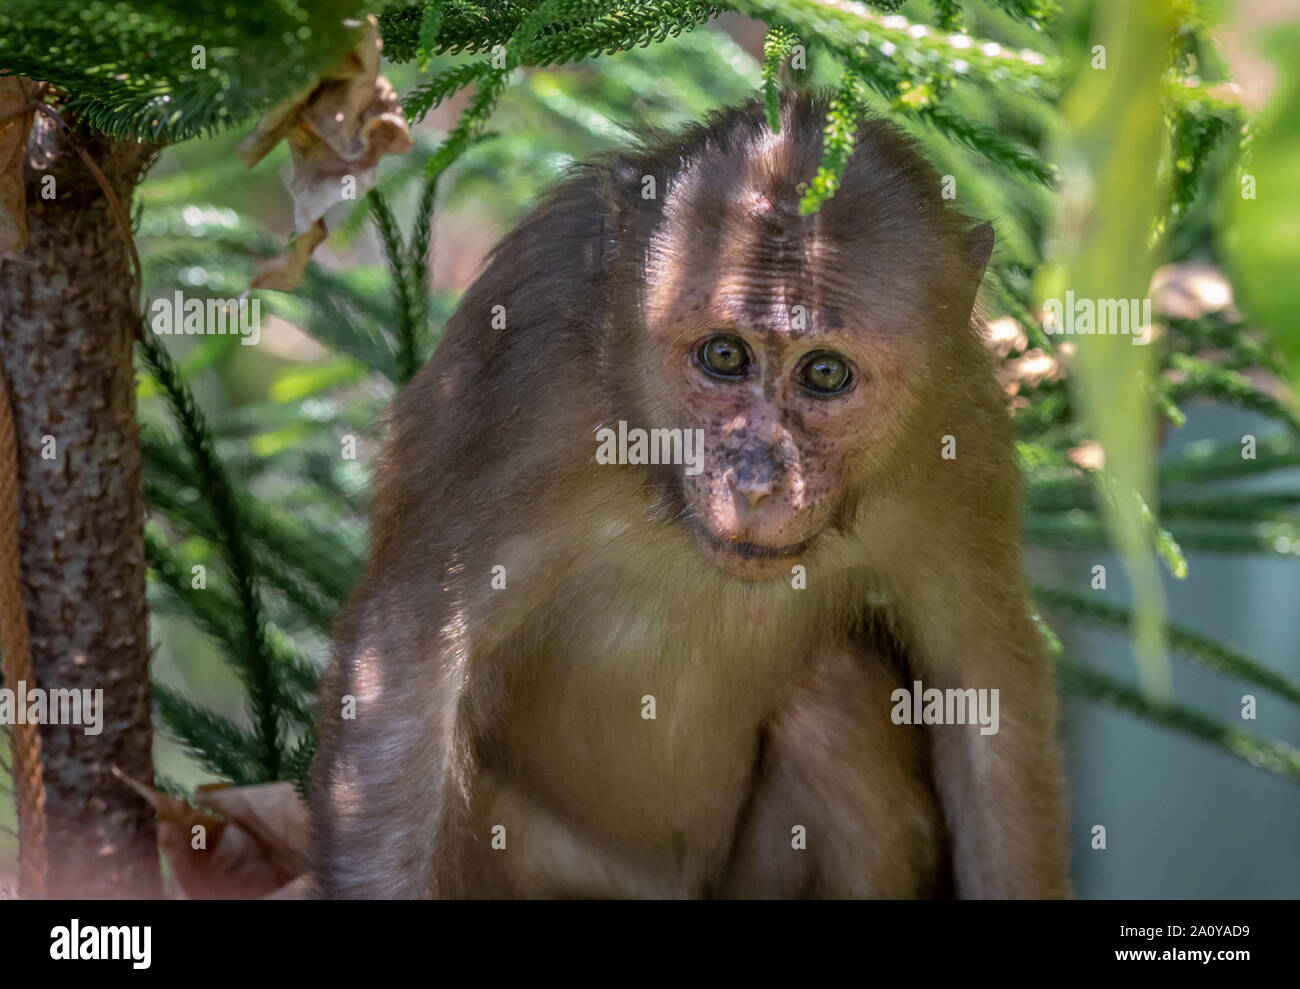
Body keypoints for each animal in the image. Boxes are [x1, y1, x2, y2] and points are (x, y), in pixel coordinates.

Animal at [310, 89, 1071, 899]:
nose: (758, 481)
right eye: (725, 356)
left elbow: (984, 687)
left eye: (824, 373)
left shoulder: (961, 432)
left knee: (835, 692)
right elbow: (408, 663)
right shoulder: (522, 378)